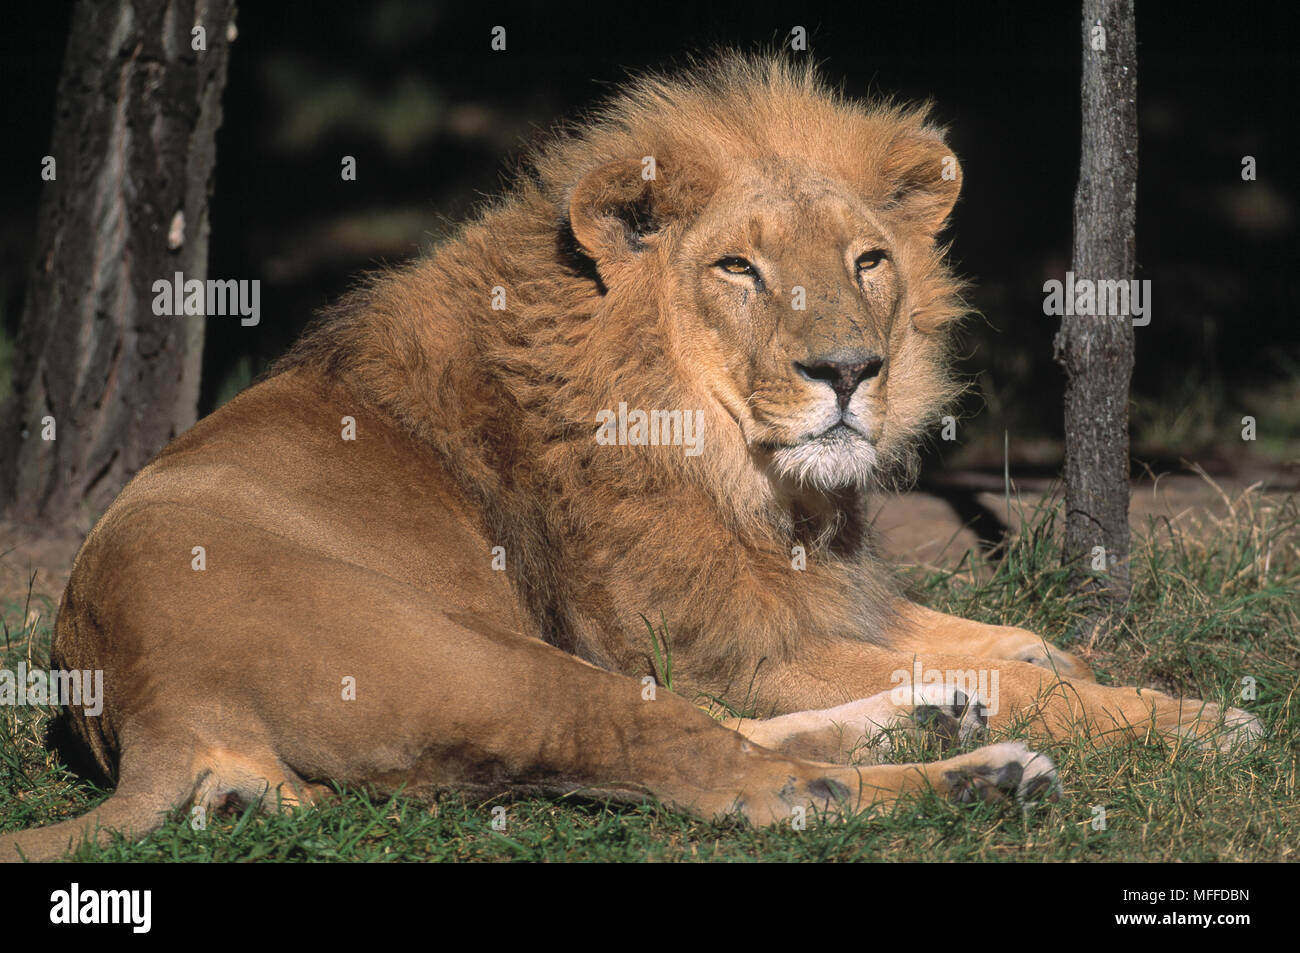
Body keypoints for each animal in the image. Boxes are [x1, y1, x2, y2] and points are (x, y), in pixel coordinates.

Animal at [3, 53, 1259, 861]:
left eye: (866, 260)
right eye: (739, 268)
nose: (849, 371)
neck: (749, 471)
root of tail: (147, 695)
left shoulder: (793, 608)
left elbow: (991, 638)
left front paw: (1018, 658)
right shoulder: (720, 641)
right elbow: (1036, 682)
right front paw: (1197, 723)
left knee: (716, 744)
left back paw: (933, 714)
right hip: (496, 661)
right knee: (751, 785)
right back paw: (984, 777)